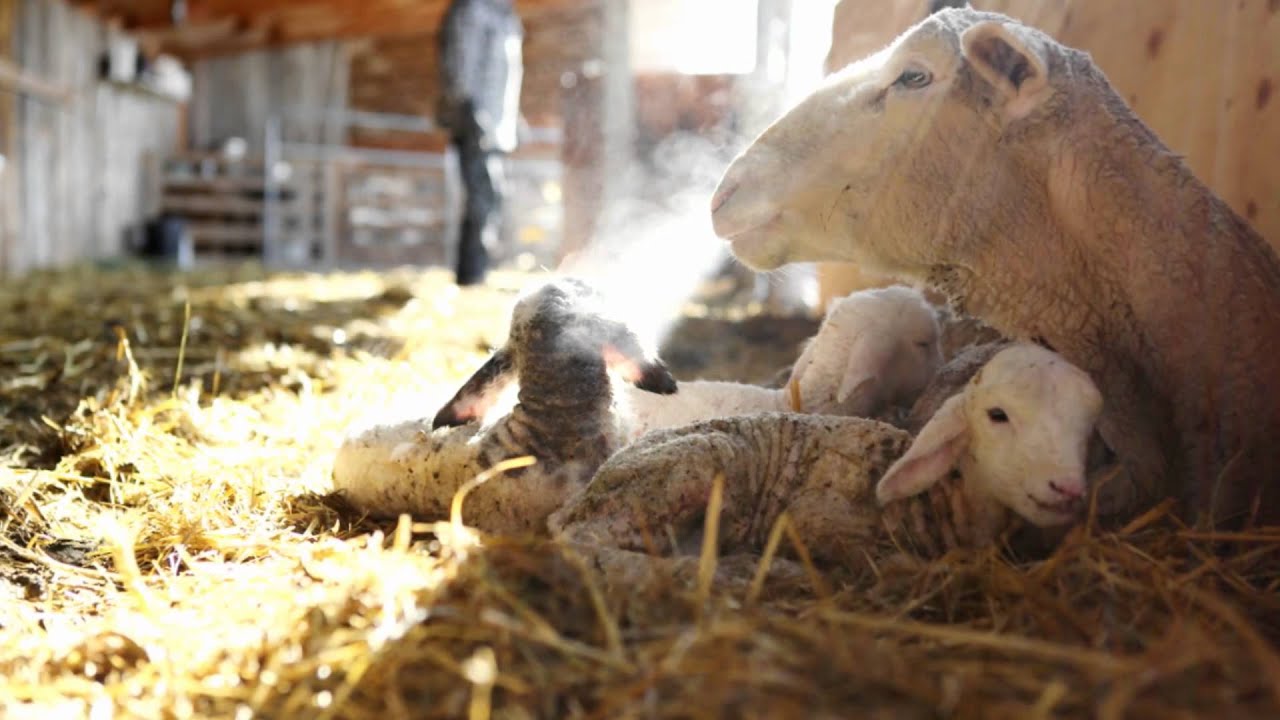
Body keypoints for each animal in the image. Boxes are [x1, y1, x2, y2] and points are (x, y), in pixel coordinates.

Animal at [548, 343, 1103, 567]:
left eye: (1090, 425)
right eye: (997, 415)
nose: (1068, 489)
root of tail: (585, 494)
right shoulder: (820, 523)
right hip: (691, 467)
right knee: (582, 542)